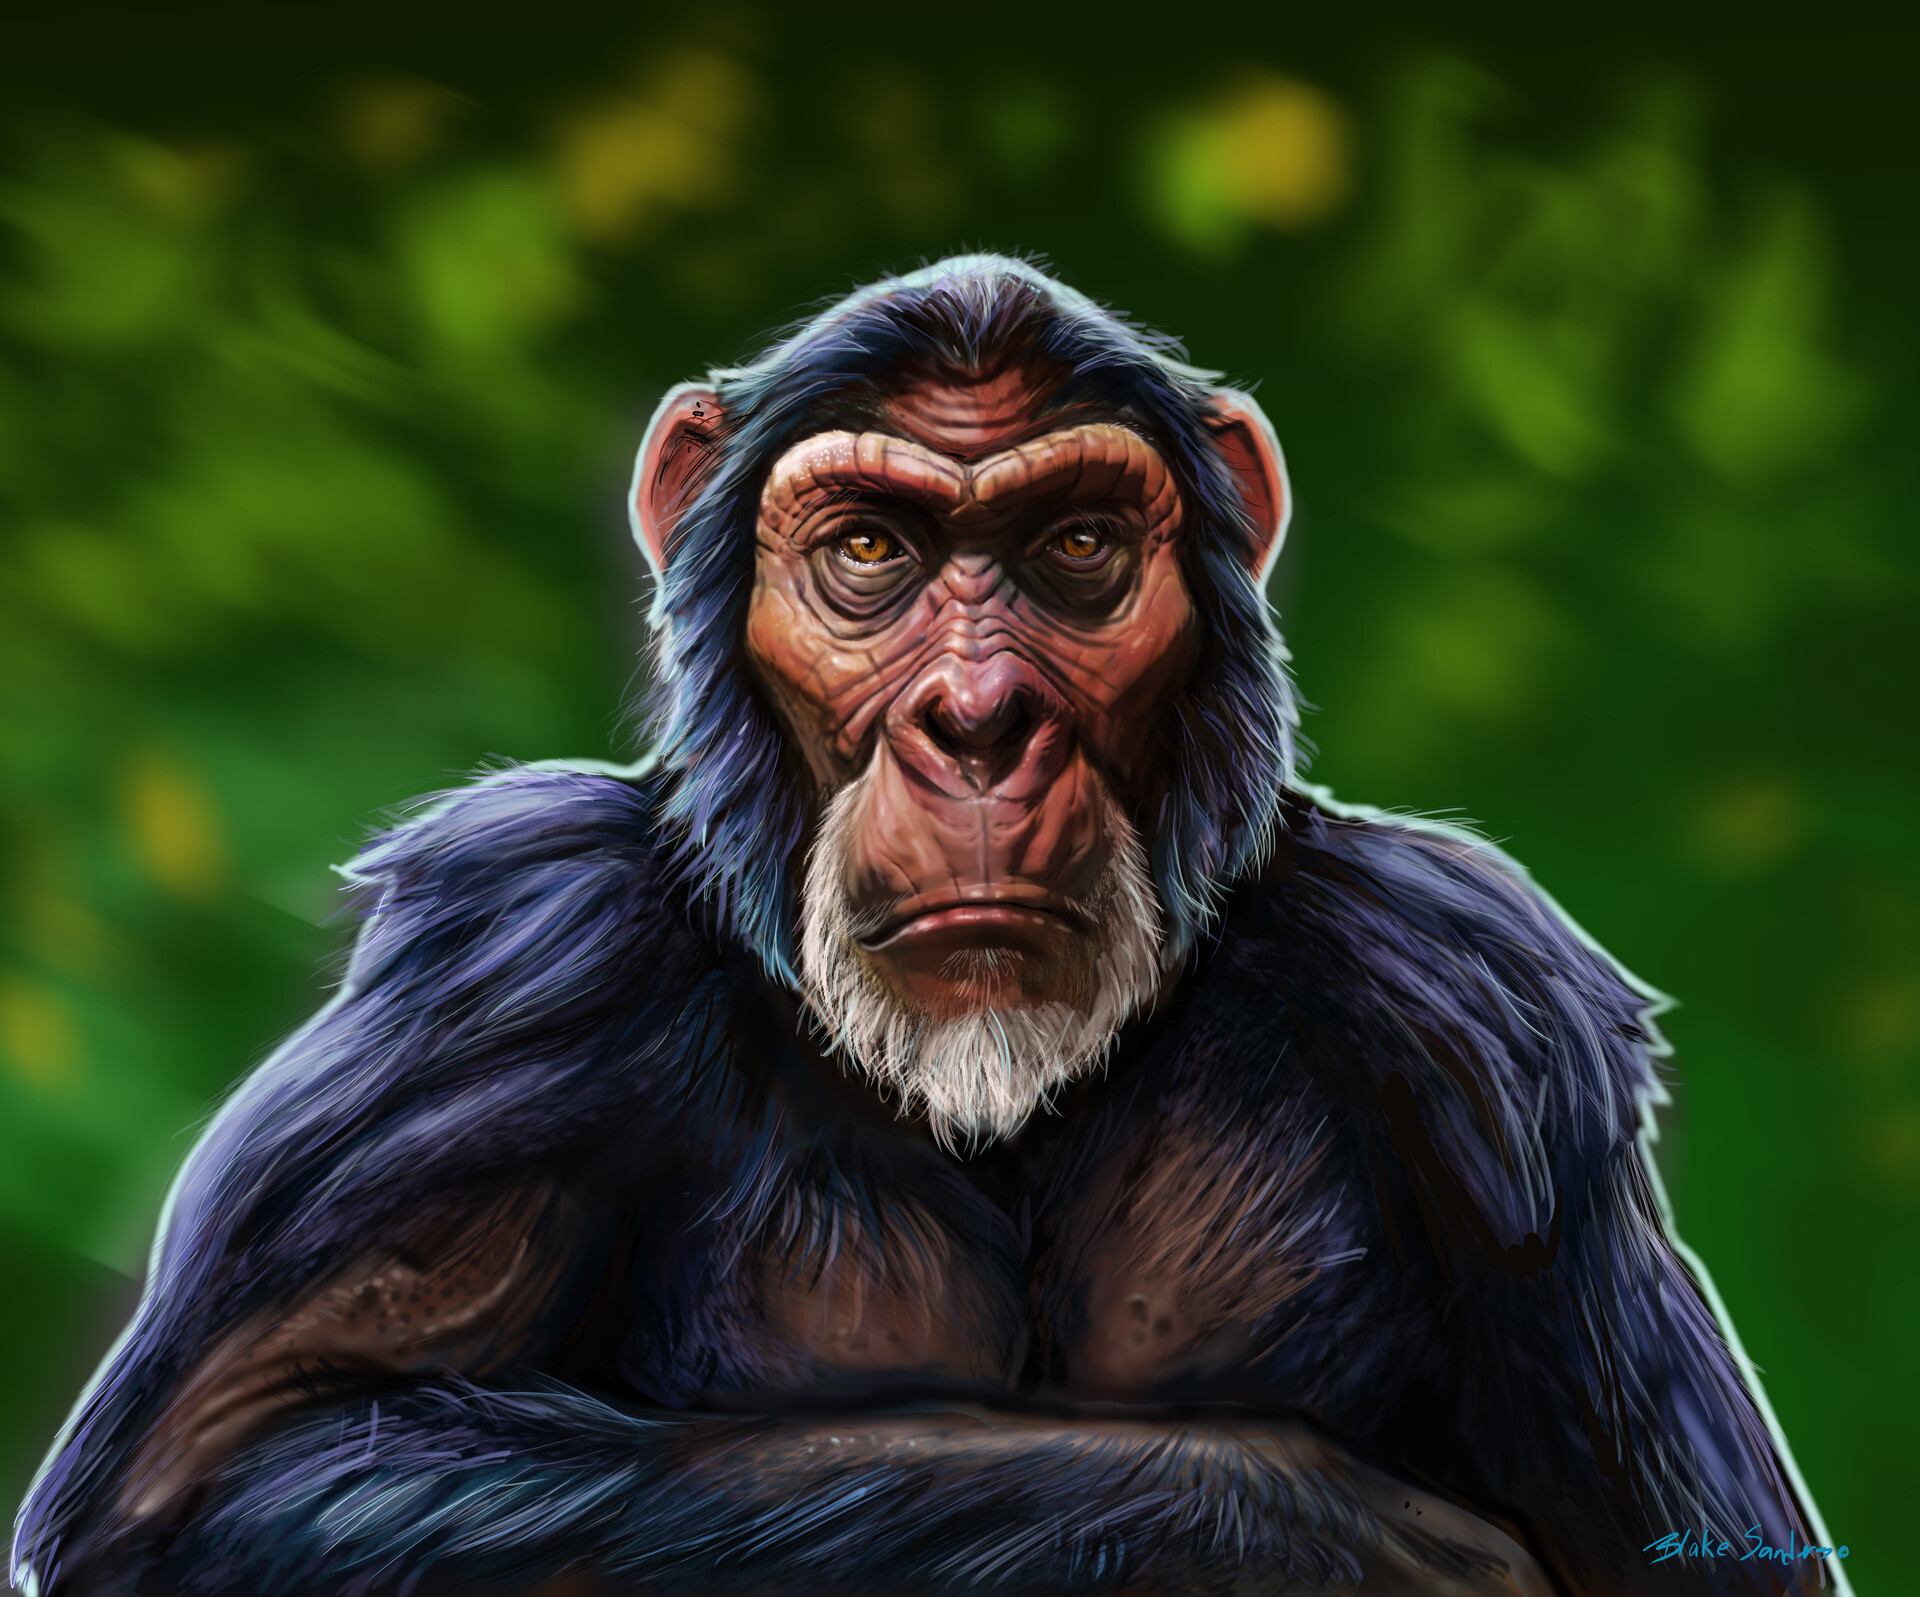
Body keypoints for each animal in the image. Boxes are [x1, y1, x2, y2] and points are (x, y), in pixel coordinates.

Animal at [11, 257, 1841, 1597]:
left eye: (1078, 546)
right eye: (871, 550)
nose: (978, 716)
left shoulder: (1481, 1001)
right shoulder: (514, 956)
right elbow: (235, 1455)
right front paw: (1310, 1529)